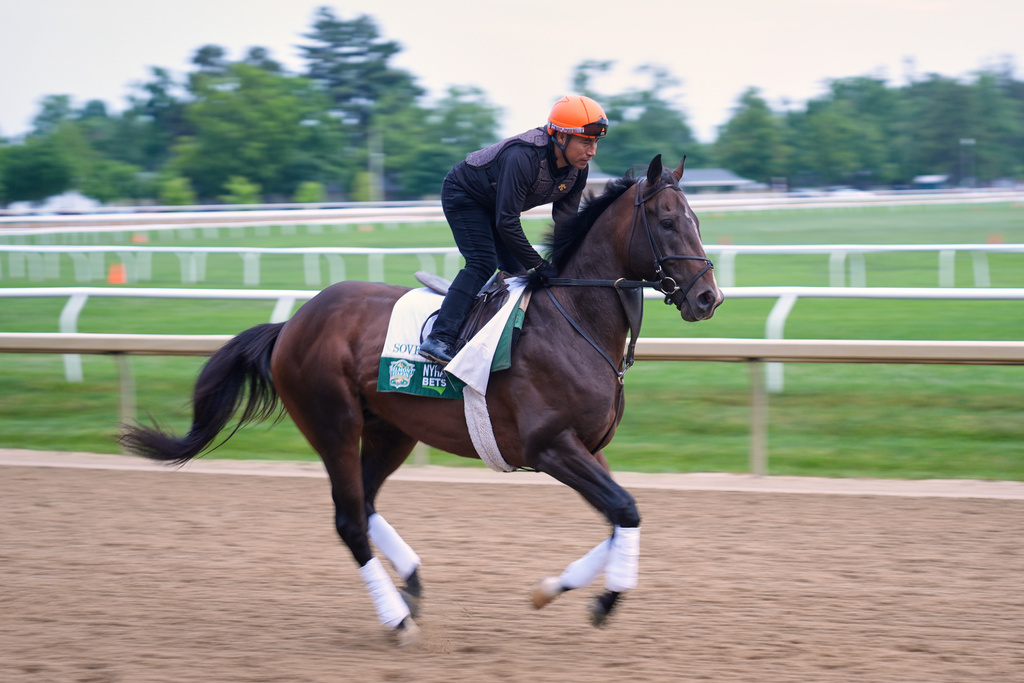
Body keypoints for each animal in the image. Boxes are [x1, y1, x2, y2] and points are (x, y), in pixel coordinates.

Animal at [120, 154, 723, 647]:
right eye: (667, 222)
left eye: (697, 220)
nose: (708, 298)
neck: (573, 321)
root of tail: (292, 323)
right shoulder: (550, 446)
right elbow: (625, 509)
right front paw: (606, 598)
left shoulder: (588, 446)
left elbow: (623, 515)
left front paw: (553, 588)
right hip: (333, 424)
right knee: (348, 519)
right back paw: (397, 618)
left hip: (391, 431)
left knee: (365, 503)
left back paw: (410, 581)